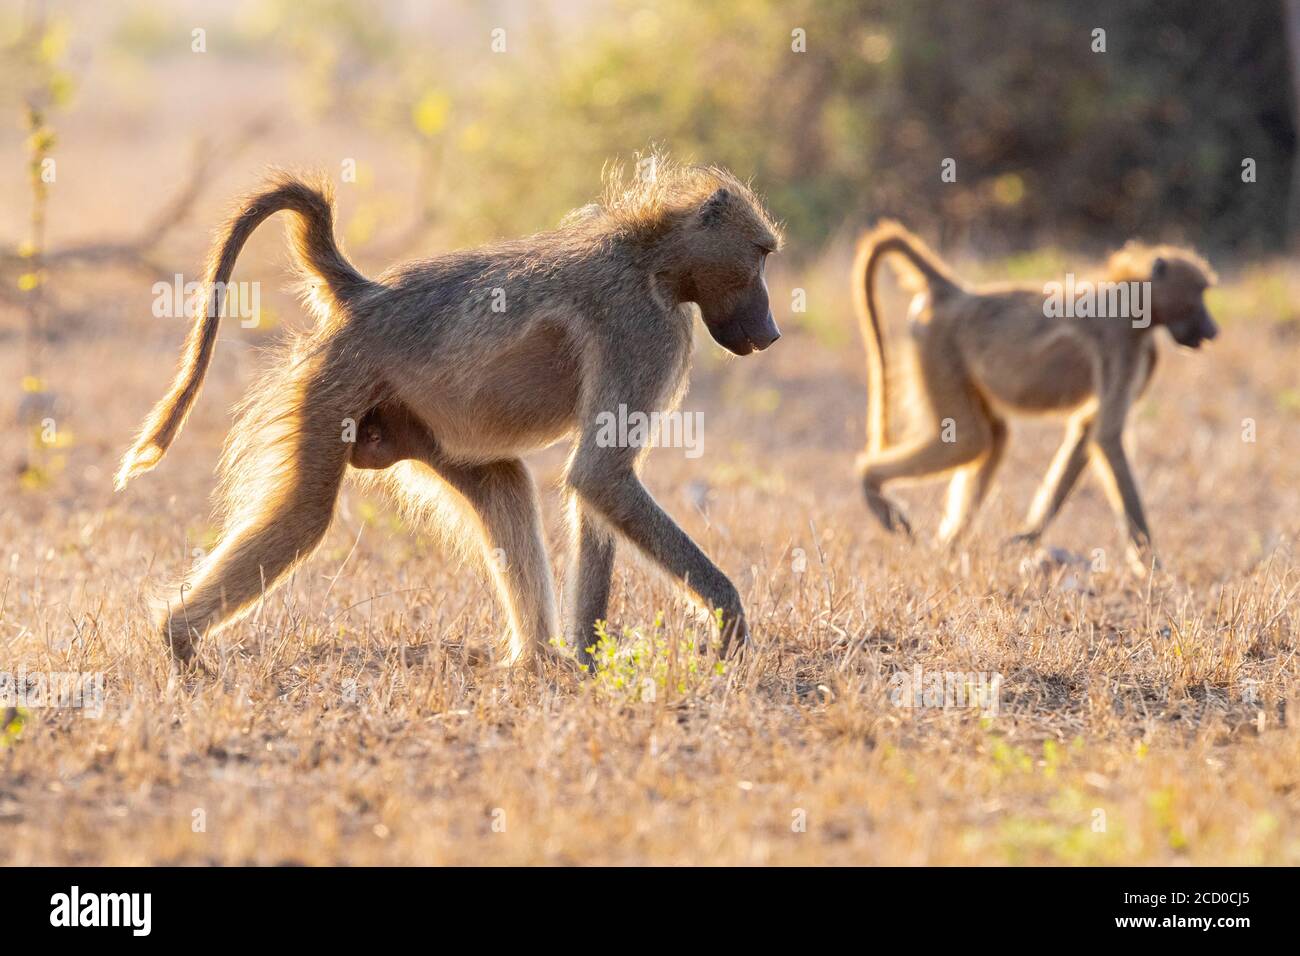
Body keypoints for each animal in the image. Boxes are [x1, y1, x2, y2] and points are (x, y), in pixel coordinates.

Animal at [115, 159, 783, 671]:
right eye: (761, 255)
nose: (772, 331)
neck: (652, 257)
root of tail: (366, 295)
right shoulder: (644, 332)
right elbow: (601, 474)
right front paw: (726, 619)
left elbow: (595, 487)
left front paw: (587, 659)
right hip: (335, 386)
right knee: (302, 517)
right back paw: (178, 643)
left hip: (420, 425)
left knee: (504, 486)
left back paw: (537, 659)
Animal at [852, 220, 1218, 570]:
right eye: (1200, 293)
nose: (1214, 330)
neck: (1134, 298)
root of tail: (955, 293)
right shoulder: (1120, 341)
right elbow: (1107, 436)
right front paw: (1150, 564)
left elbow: (1087, 430)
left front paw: (1028, 536)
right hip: (938, 347)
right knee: (968, 441)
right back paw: (871, 484)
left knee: (992, 438)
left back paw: (947, 547)